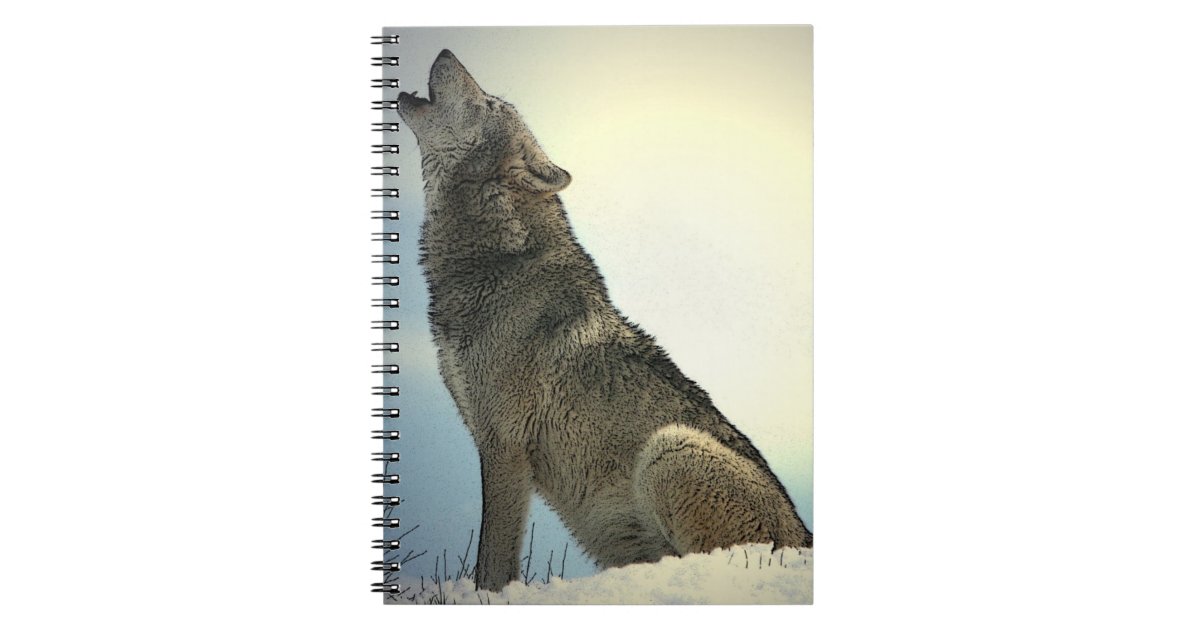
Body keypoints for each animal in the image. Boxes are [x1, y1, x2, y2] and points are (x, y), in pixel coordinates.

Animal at [395, 49, 813, 592]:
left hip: (668, 449)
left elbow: (492, 559)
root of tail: (805, 539)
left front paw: (484, 598)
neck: (498, 262)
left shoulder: (504, 443)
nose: (445, 52)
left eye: (488, 103)